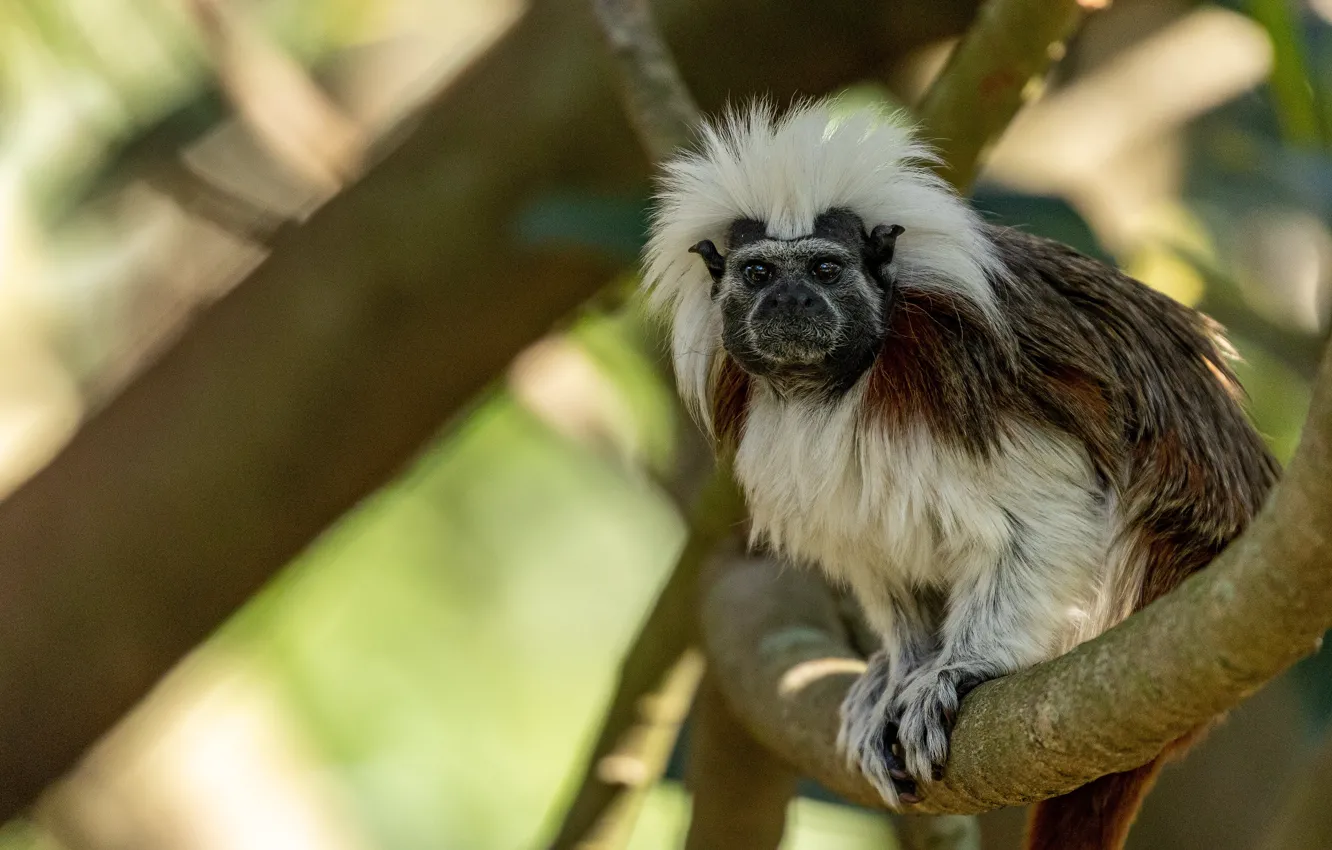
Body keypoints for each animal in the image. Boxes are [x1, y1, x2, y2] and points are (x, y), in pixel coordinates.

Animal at [641, 99, 1279, 850]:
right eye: (760, 274)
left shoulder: (961, 376)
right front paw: (905, 669)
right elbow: (882, 560)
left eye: (824, 270)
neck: (835, 385)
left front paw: (962, 668)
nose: (791, 302)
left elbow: (1051, 514)